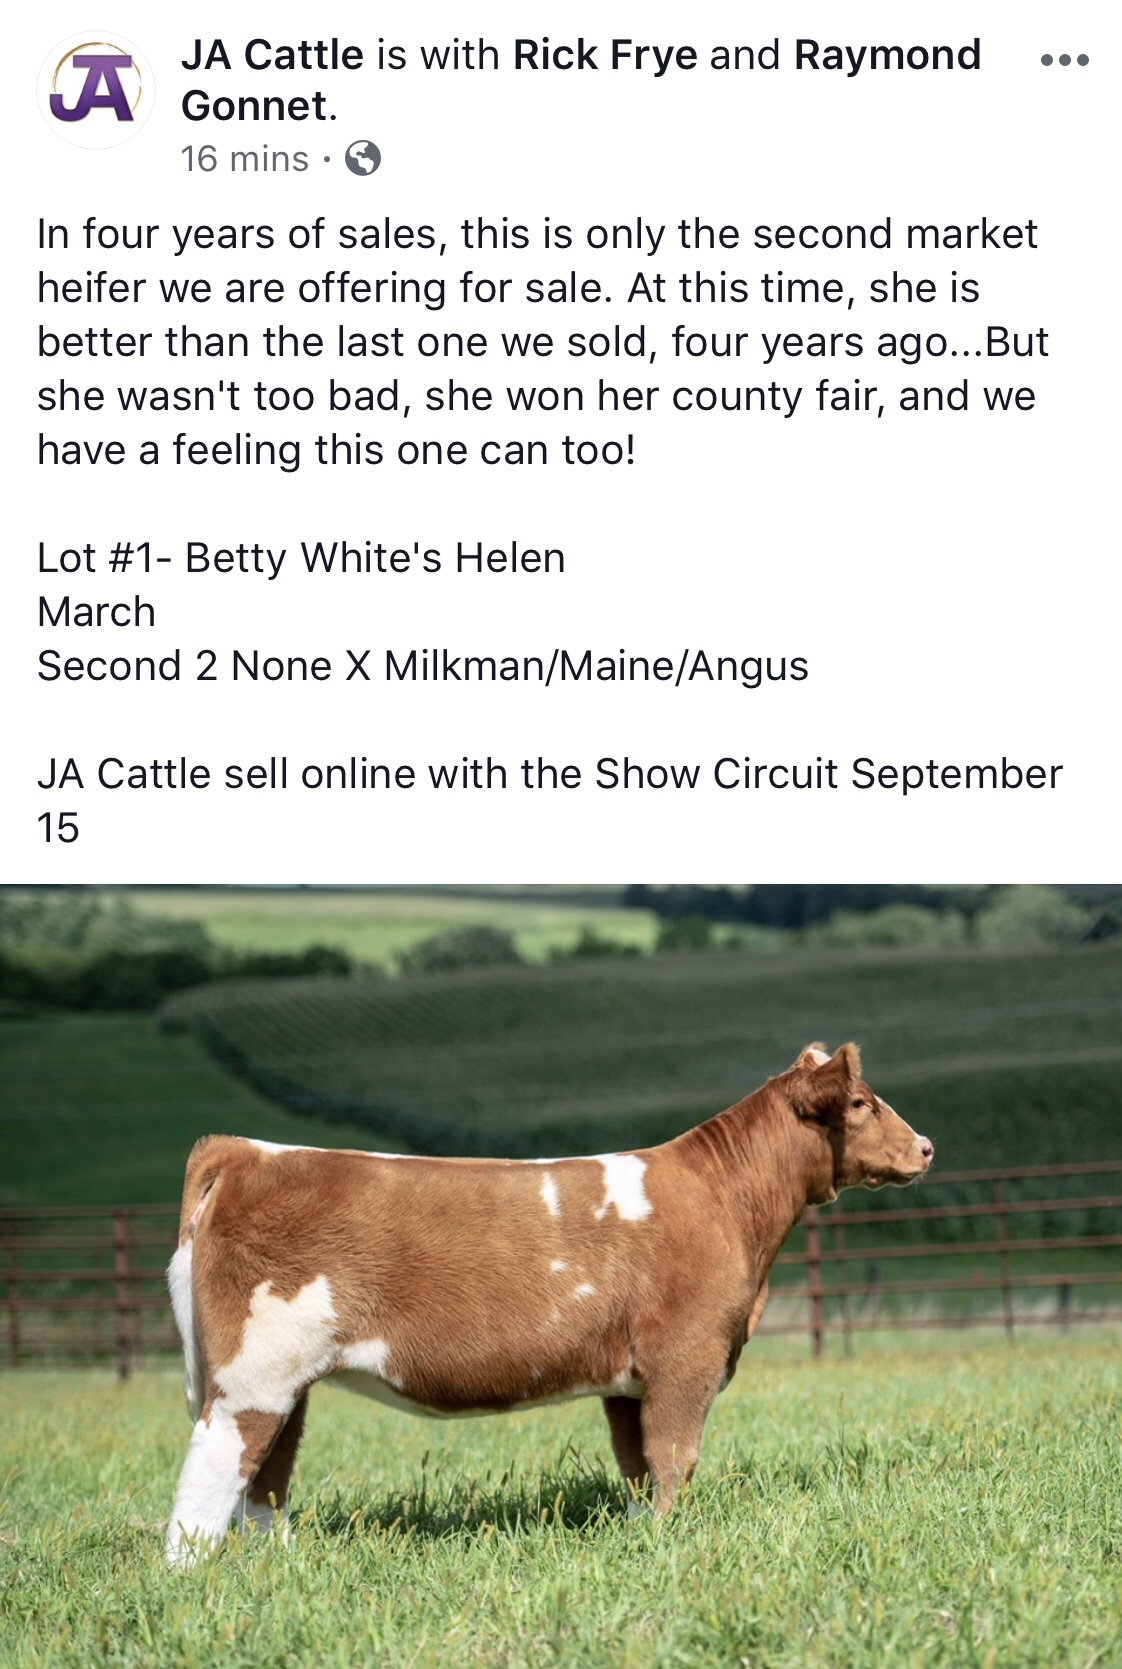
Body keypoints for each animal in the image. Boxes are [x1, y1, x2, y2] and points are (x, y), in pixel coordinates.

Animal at [166, 1041, 933, 1564]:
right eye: (860, 1103)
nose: (926, 1145)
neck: (728, 1203)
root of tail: (246, 1151)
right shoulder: (686, 1355)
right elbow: (674, 1456)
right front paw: (670, 1542)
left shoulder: (629, 1379)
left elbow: (636, 1463)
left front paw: (640, 1538)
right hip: (254, 1372)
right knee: (212, 1471)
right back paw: (190, 1575)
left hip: (282, 1379)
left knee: (264, 1481)